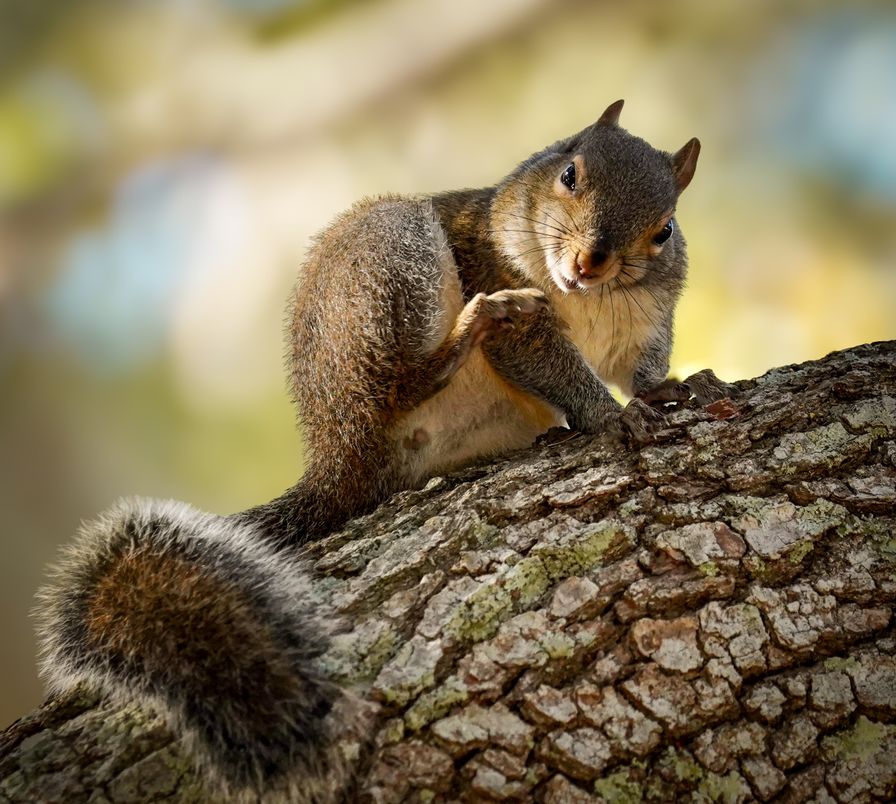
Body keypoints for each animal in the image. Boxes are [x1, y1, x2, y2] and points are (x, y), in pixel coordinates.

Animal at [36, 101, 730, 800]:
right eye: (569, 173)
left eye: (664, 231)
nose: (591, 261)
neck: (591, 300)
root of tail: (337, 450)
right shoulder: (510, 300)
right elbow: (549, 362)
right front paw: (611, 417)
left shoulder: (644, 326)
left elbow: (641, 369)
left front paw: (671, 388)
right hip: (388, 263)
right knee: (402, 383)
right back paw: (473, 325)